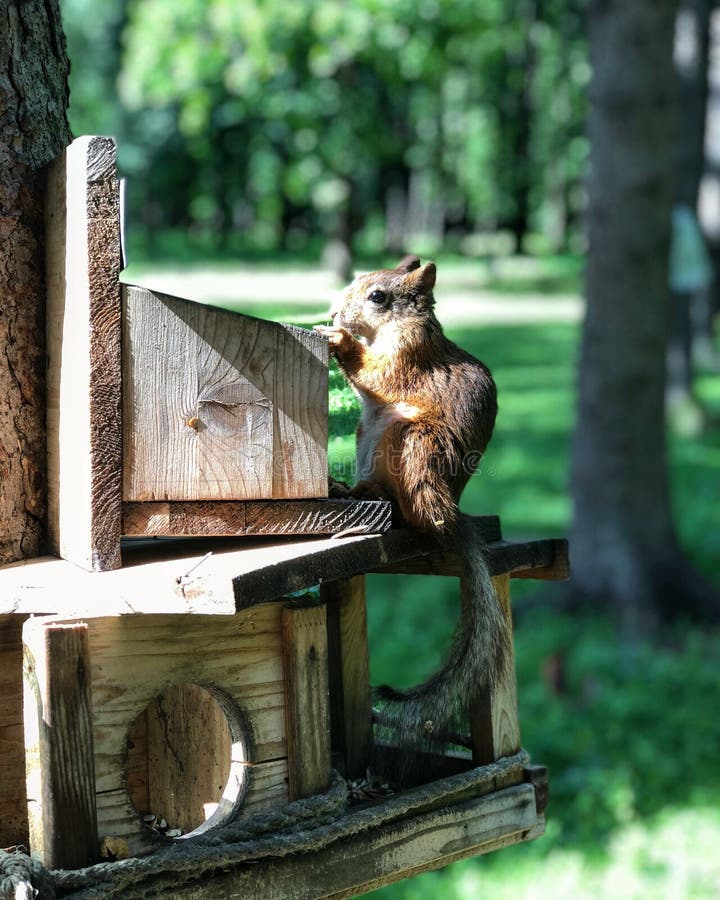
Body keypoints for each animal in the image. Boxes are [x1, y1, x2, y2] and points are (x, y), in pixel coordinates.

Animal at [315, 256, 510, 759]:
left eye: (377, 296)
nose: (333, 312)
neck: (389, 329)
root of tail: (451, 514)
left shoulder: (410, 356)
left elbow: (381, 375)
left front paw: (337, 341)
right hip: (371, 440)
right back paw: (353, 491)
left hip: (415, 445)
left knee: (414, 519)